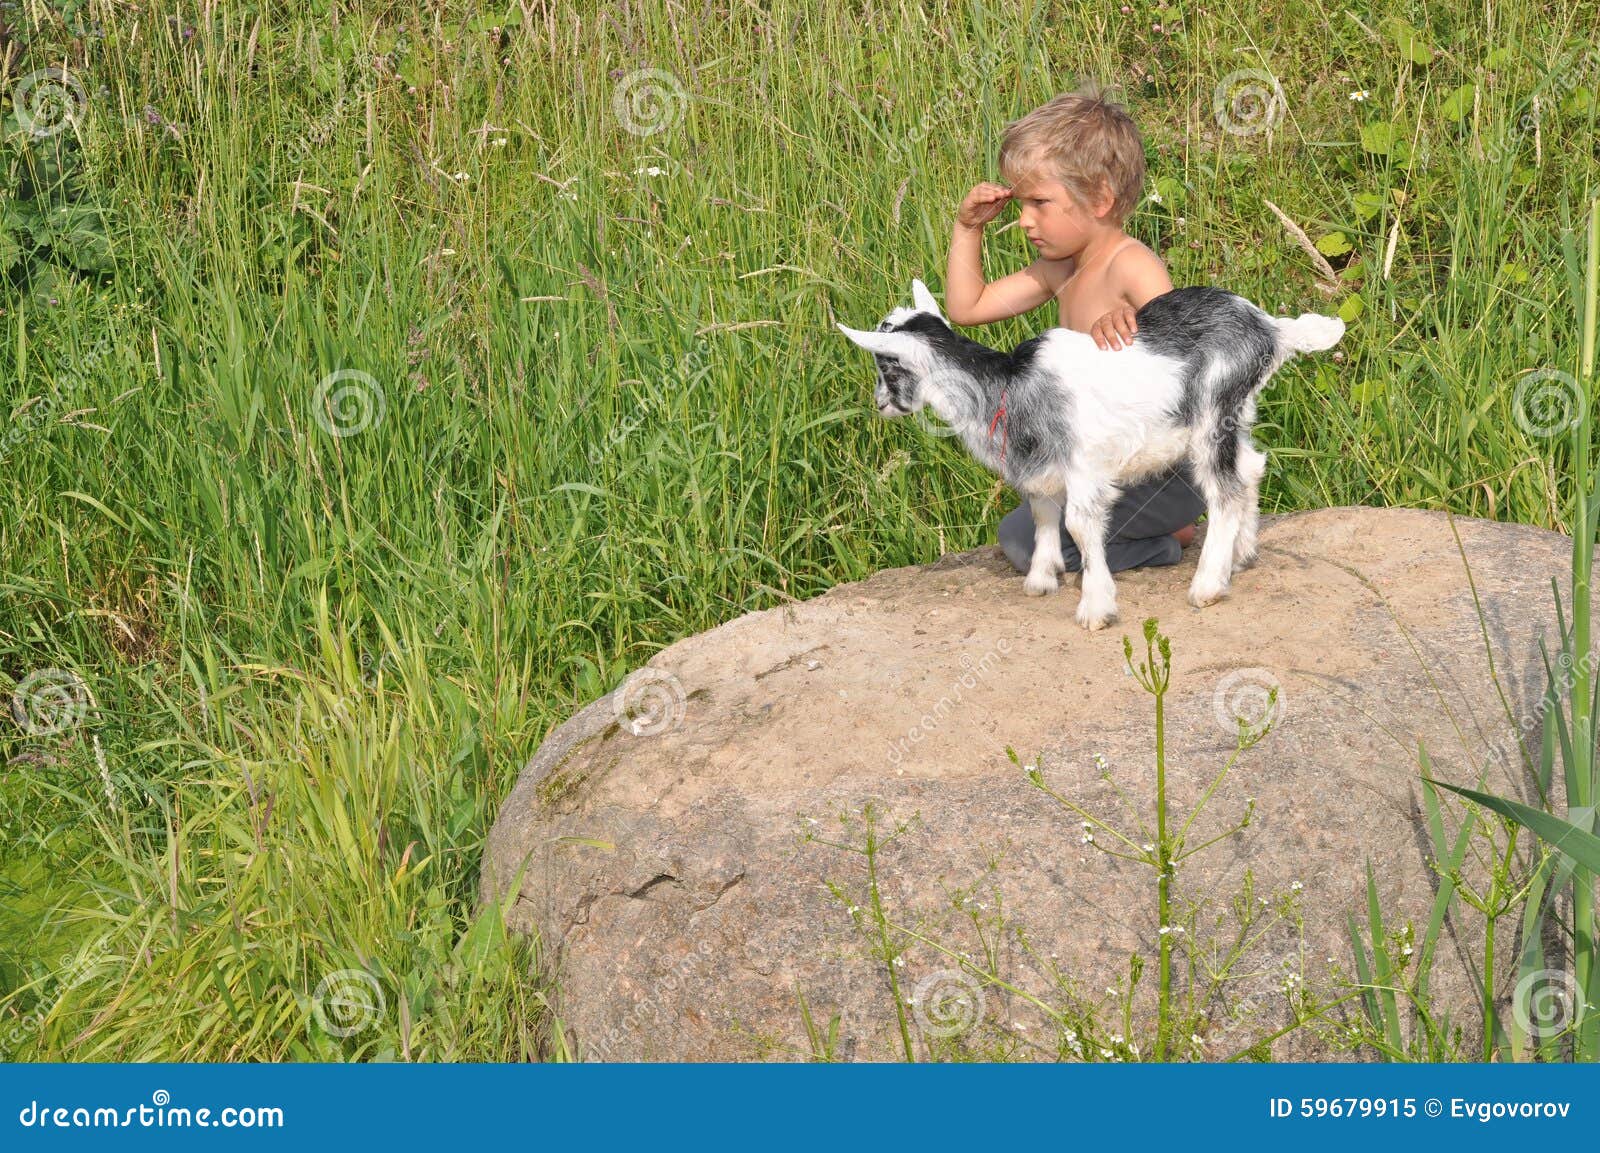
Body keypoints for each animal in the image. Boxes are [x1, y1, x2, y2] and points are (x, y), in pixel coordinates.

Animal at [838, 279, 1344, 631]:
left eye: (886, 365)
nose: (880, 404)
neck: (1010, 385)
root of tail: (1271, 329)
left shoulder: (1085, 466)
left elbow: (1080, 527)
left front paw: (1096, 608)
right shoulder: (1042, 468)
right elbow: (1043, 514)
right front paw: (1041, 579)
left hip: (1211, 413)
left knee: (1225, 491)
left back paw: (1207, 585)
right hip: (1235, 415)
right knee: (1251, 467)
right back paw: (1242, 555)